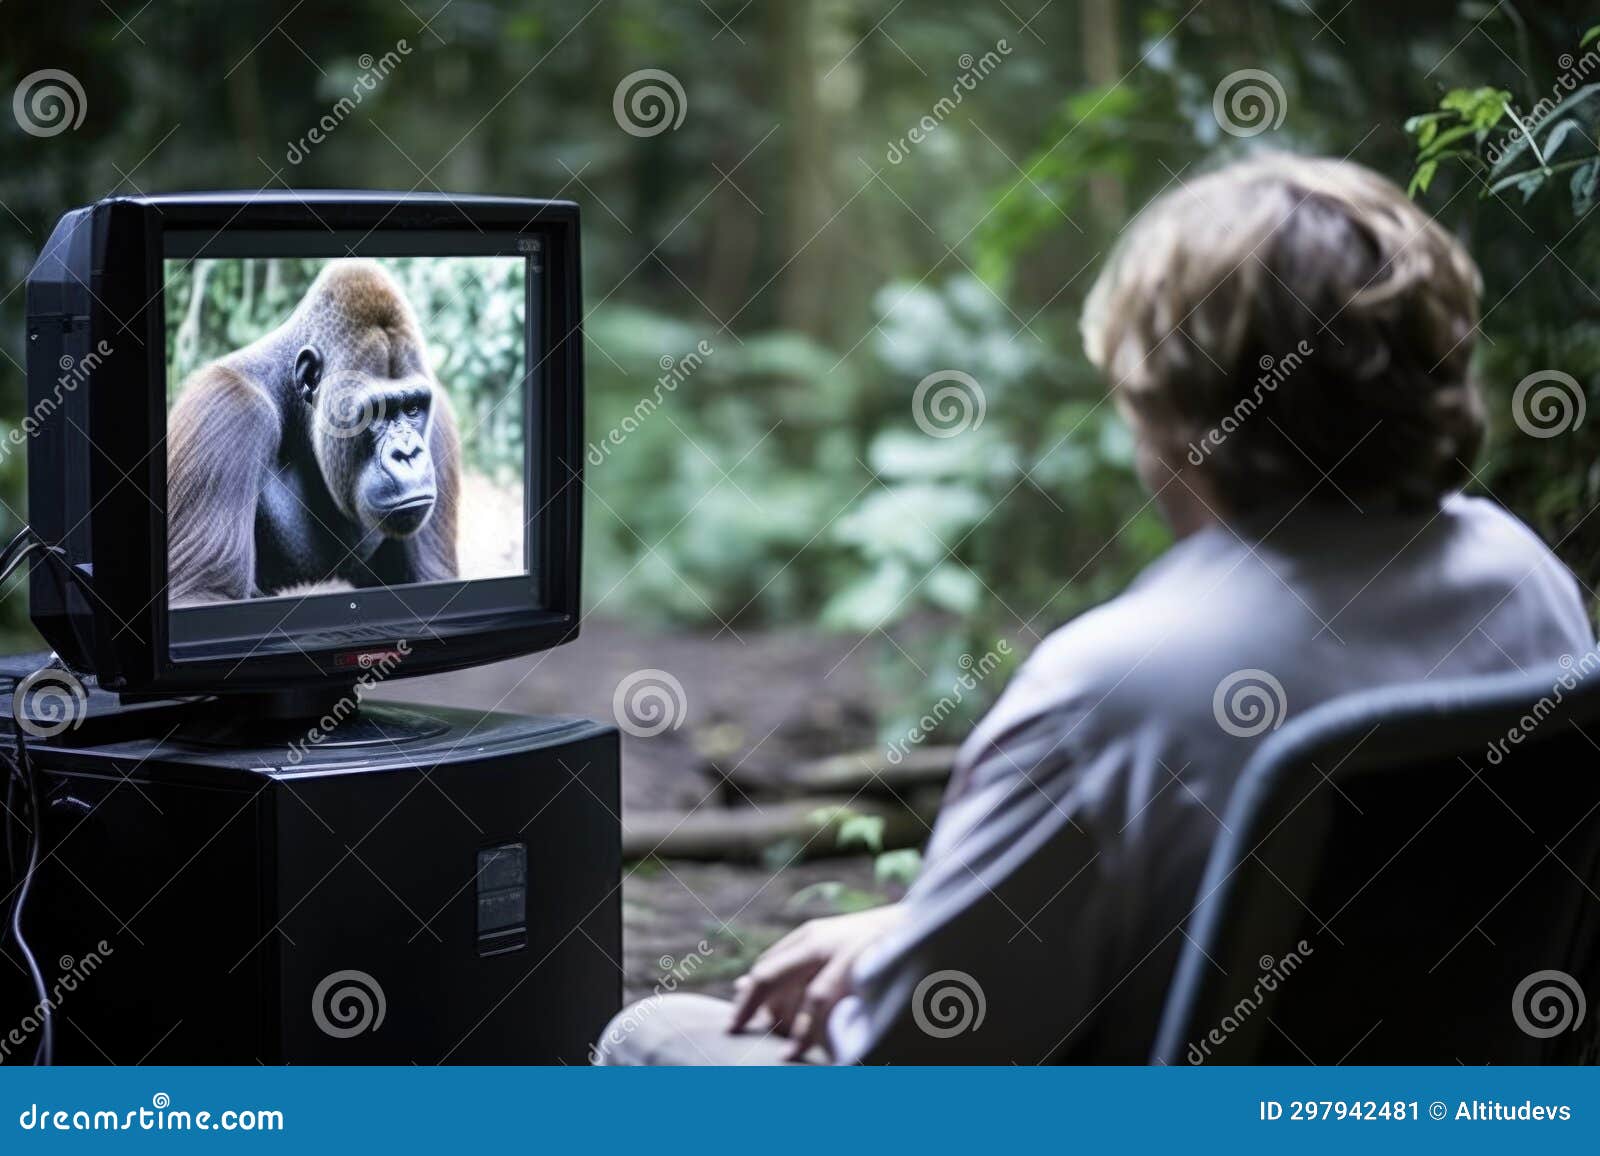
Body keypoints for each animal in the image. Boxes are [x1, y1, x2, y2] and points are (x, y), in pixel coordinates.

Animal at [167, 259, 460, 605]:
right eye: (375, 412)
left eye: (413, 408)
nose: (408, 453)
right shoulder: (227, 409)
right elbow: (199, 594)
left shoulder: (438, 420)